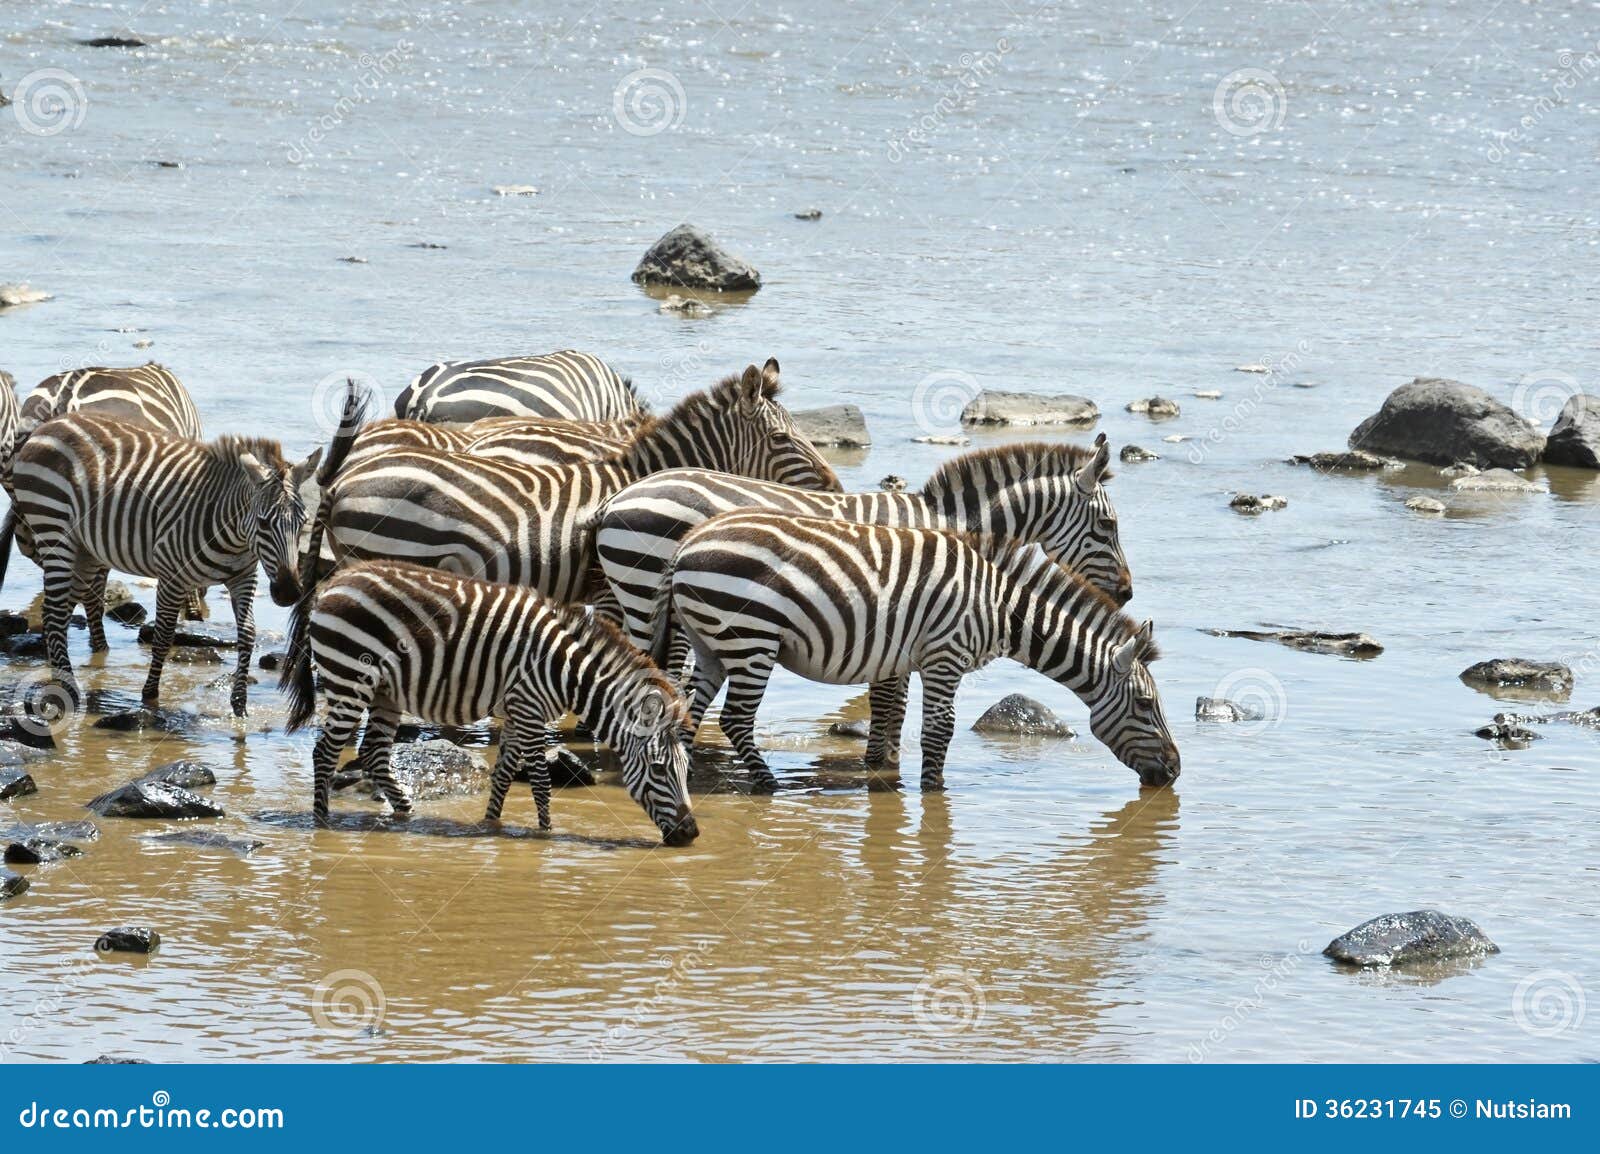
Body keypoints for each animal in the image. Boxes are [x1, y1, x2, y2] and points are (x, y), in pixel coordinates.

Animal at [9, 383, 359, 717]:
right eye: (262, 523)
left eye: (302, 522)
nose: (288, 593)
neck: (232, 535)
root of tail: (50, 425)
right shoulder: (171, 576)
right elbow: (164, 635)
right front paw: (149, 695)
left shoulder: (244, 577)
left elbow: (247, 634)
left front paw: (239, 705)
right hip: (54, 530)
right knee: (55, 612)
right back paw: (67, 687)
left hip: (86, 547)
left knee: (70, 605)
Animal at [281, 559, 698, 844]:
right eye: (660, 769)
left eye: (685, 768)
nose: (691, 833)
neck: (566, 670)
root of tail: (334, 582)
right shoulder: (529, 709)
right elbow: (541, 781)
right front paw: (547, 834)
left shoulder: (517, 711)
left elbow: (504, 773)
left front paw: (491, 824)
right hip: (349, 678)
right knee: (325, 752)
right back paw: (322, 822)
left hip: (384, 691)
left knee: (374, 754)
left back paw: (406, 814)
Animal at [651, 510, 1180, 792]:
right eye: (1147, 704)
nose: (1175, 770)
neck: (1002, 607)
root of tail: (687, 545)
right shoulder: (946, 656)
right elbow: (938, 731)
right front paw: (935, 789)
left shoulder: (916, 659)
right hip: (751, 637)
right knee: (736, 719)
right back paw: (768, 785)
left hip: (712, 643)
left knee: (690, 712)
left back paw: (689, 774)